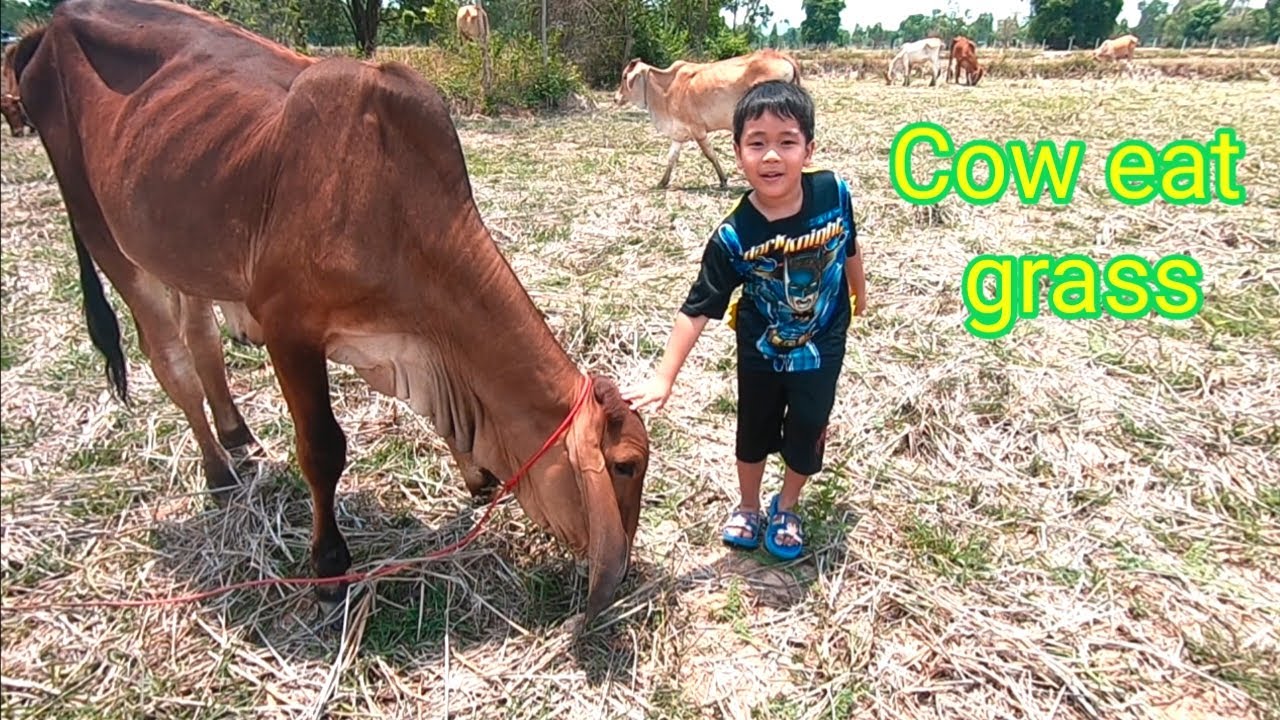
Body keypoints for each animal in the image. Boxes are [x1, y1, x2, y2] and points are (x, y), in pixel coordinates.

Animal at [6, 0, 651, 624]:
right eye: (624, 465)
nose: (621, 573)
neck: (400, 212)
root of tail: (49, 27)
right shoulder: (288, 330)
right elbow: (322, 448)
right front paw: (328, 570)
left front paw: (476, 475)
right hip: (100, 227)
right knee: (168, 356)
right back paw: (219, 473)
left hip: (182, 243)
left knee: (200, 338)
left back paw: (237, 436)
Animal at [614, 49, 801, 189]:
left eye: (624, 77)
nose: (615, 98)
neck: (666, 88)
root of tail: (778, 55)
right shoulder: (678, 133)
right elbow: (671, 157)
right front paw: (662, 182)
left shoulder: (697, 129)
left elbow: (710, 154)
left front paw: (723, 181)